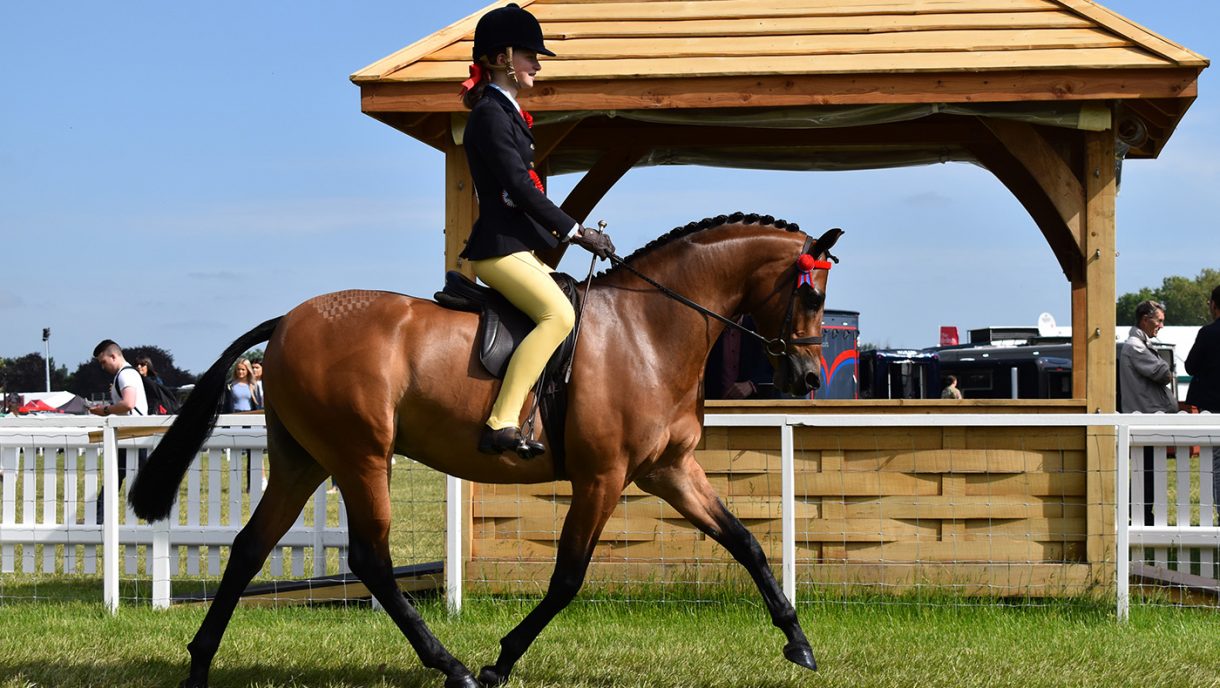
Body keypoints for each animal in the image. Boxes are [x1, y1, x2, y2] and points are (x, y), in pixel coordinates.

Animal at [129, 212, 844, 688]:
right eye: (810, 294)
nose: (808, 379)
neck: (648, 330)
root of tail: (288, 321)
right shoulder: (603, 477)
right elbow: (567, 578)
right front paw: (500, 661)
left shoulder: (669, 470)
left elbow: (746, 543)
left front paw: (800, 644)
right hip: (362, 457)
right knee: (370, 560)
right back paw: (451, 667)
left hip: (305, 460)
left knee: (251, 547)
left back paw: (199, 664)